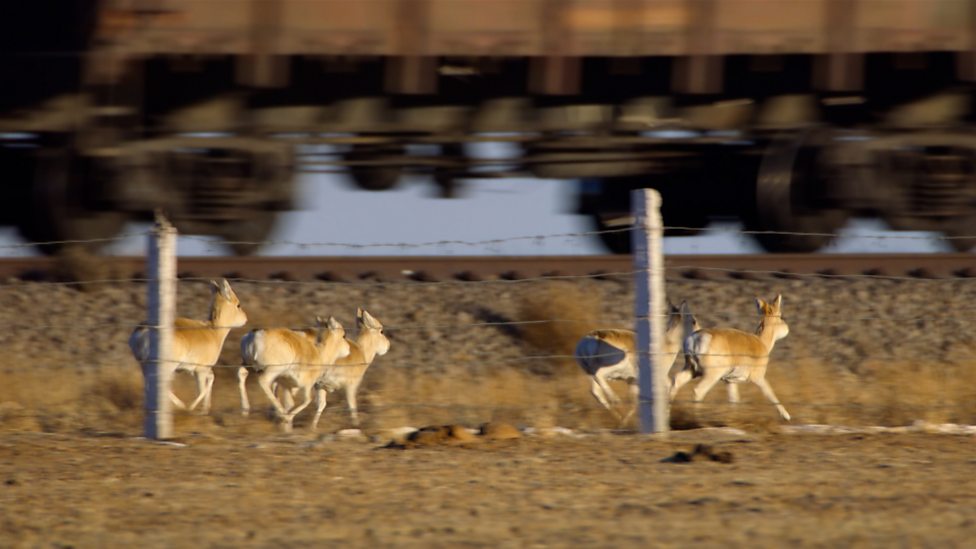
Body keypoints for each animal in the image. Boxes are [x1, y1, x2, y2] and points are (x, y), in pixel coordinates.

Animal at [129, 278, 248, 414]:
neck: (213, 331)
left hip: (144, 366)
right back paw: (180, 405)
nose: (246, 319)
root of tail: (142, 330)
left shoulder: (198, 370)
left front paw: (205, 409)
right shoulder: (200, 370)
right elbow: (202, 389)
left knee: (149, 384)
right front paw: (192, 408)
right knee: (161, 385)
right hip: (166, 367)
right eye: (238, 305)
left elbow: (211, 378)